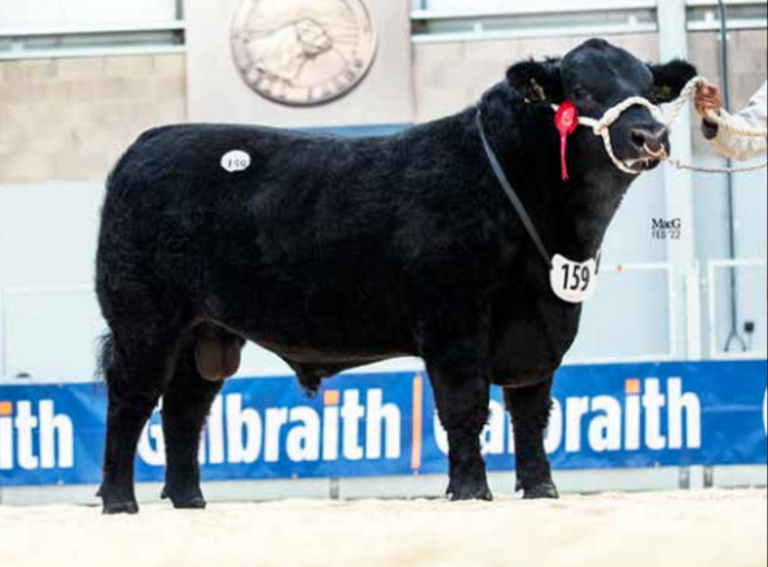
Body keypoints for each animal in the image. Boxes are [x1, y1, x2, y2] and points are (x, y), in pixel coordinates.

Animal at [95, 38, 696, 514]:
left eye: (649, 88)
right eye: (582, 90)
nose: (650, 135)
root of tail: (149, 141)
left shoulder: (542, 325)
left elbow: (531, 413)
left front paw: (541, 489)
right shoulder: (454, 321)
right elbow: (465, 407)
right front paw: (470, 491)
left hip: (208, 332)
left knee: (184, 408)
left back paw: (189, 500)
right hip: (143, 319)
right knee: (130, 399)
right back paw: (120, 500)